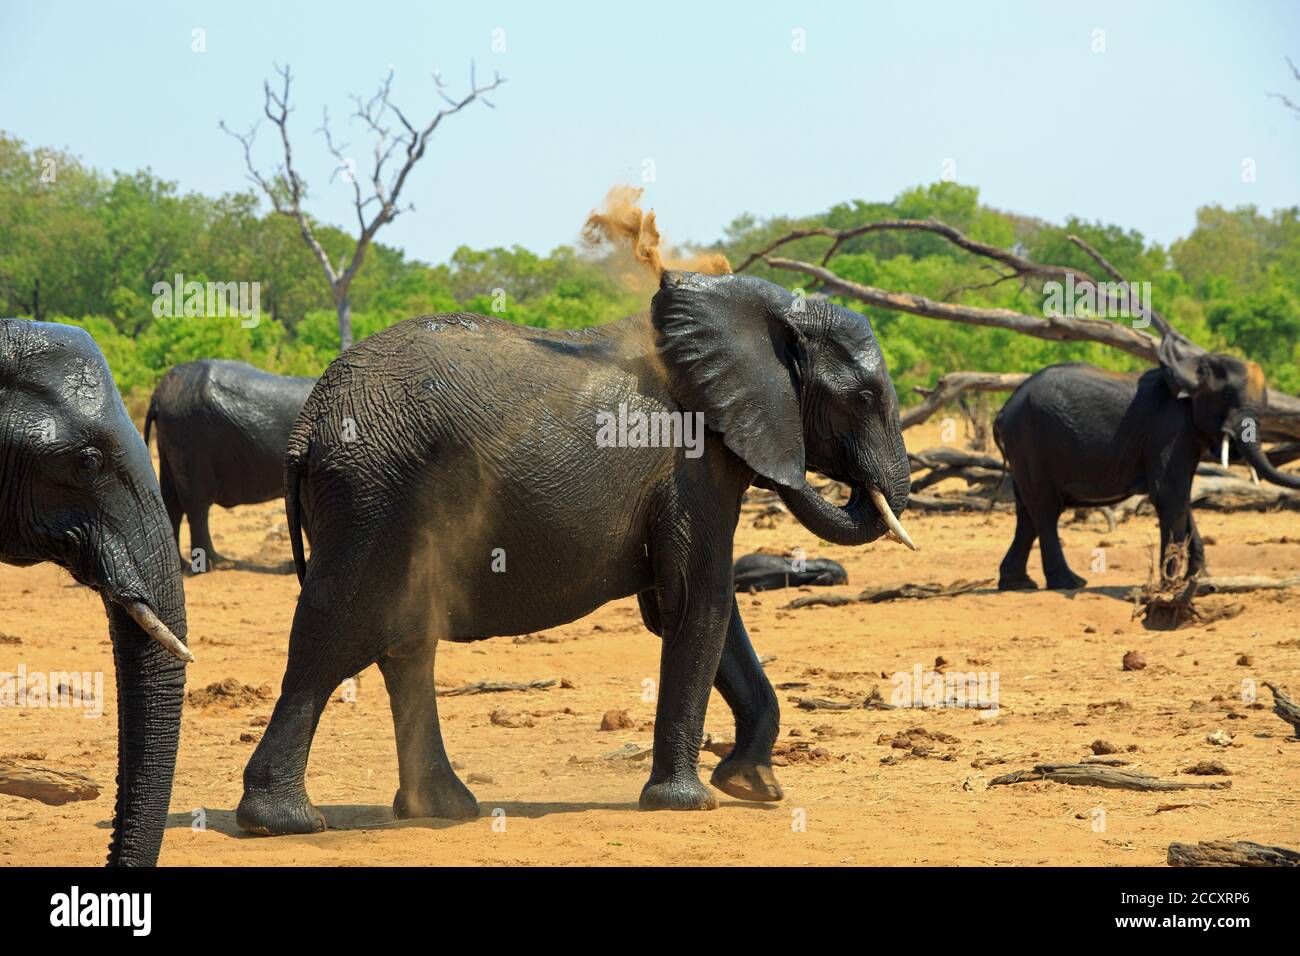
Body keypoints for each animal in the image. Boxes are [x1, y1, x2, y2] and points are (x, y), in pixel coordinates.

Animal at [144, 360, 315, 570]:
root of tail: (157, 397)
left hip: (169, 441)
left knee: (172, 501)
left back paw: (183, 567)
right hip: (189, 437)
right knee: (196, 504)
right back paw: (216, 564)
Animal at [236, 270, 914, 836]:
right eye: (862, 398)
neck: (756, 307)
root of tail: (307, 425)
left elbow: (692, 610)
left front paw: (755, 788)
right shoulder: (691, 462)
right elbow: (699, 602)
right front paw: (689, 803)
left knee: (405, 641)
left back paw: (443, 810)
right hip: (372, 496)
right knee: (335, 633)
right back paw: (284, 822)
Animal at [994, 335, 1300, 591]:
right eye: (1226, 396)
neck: (1192, 369)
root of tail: (1003, 411)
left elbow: (1182, 499)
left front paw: (1198, 579)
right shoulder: (1168, 428)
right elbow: (1170, 495)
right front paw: (1171, 586)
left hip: (1025, 449)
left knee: (1027, 513)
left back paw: (1018, 584)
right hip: (1029, 441)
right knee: (1045, 511)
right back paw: (1070, 583)